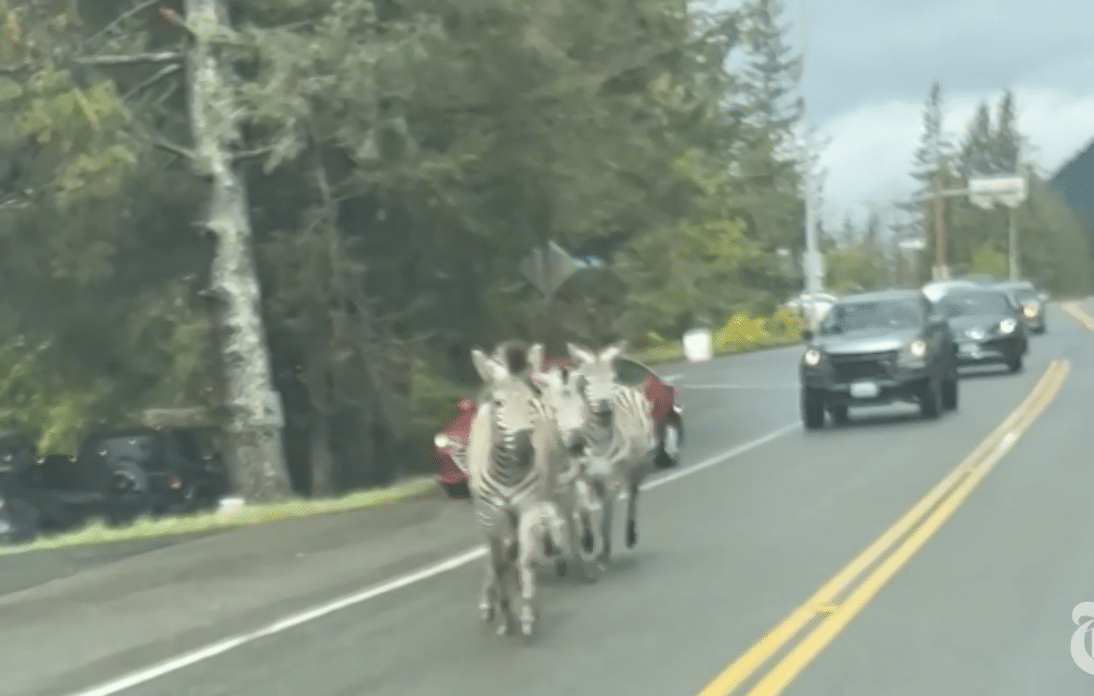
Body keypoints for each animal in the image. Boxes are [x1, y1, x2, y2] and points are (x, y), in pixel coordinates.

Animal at [466, 342, 563, 639]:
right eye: (499, 403)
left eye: (530, 400)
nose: (523, 453)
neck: (506, 472)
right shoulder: (489, 516)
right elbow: (498, 564)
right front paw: (506, 615)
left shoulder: (528, 508)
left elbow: (525, 558)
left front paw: (527, 614)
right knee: (497, 556)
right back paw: (490, 601)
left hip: (541, 497)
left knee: (516, 551)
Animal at [566, 340, 658, 566]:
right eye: (585, 382)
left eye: (613, 379)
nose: (604, 408)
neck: (600, 442)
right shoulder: (582, 475)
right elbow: (584, 508)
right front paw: (587, 542)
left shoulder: (612, 479)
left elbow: (606, 517)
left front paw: (603, 553)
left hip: (637, 469)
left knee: (632, 497)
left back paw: (630, 536)